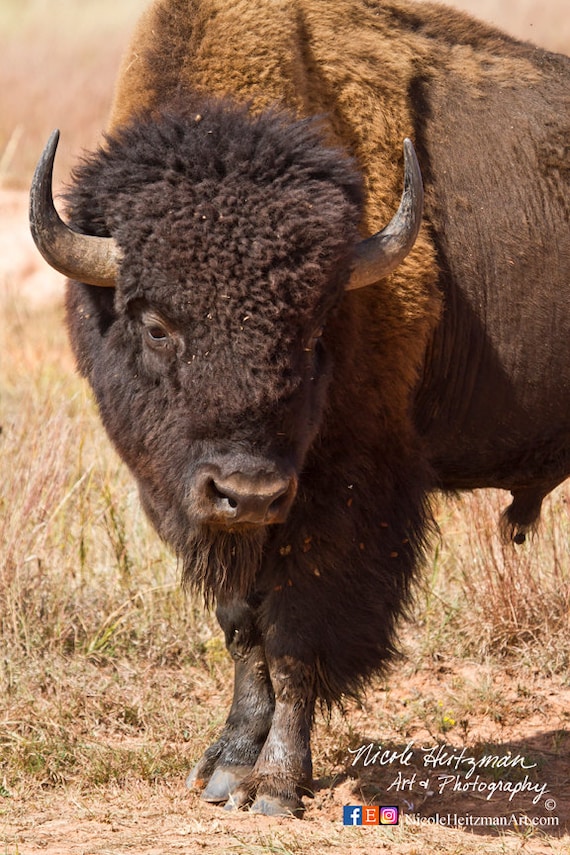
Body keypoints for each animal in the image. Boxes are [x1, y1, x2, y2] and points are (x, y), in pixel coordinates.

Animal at [30, 0, 570, 817]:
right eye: (156, 324)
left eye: (316, 329)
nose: (247, 489)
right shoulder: (211, 517)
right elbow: (241, 631)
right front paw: (222, 768)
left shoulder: (339, 504)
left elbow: (293, 638)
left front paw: (275, 785)